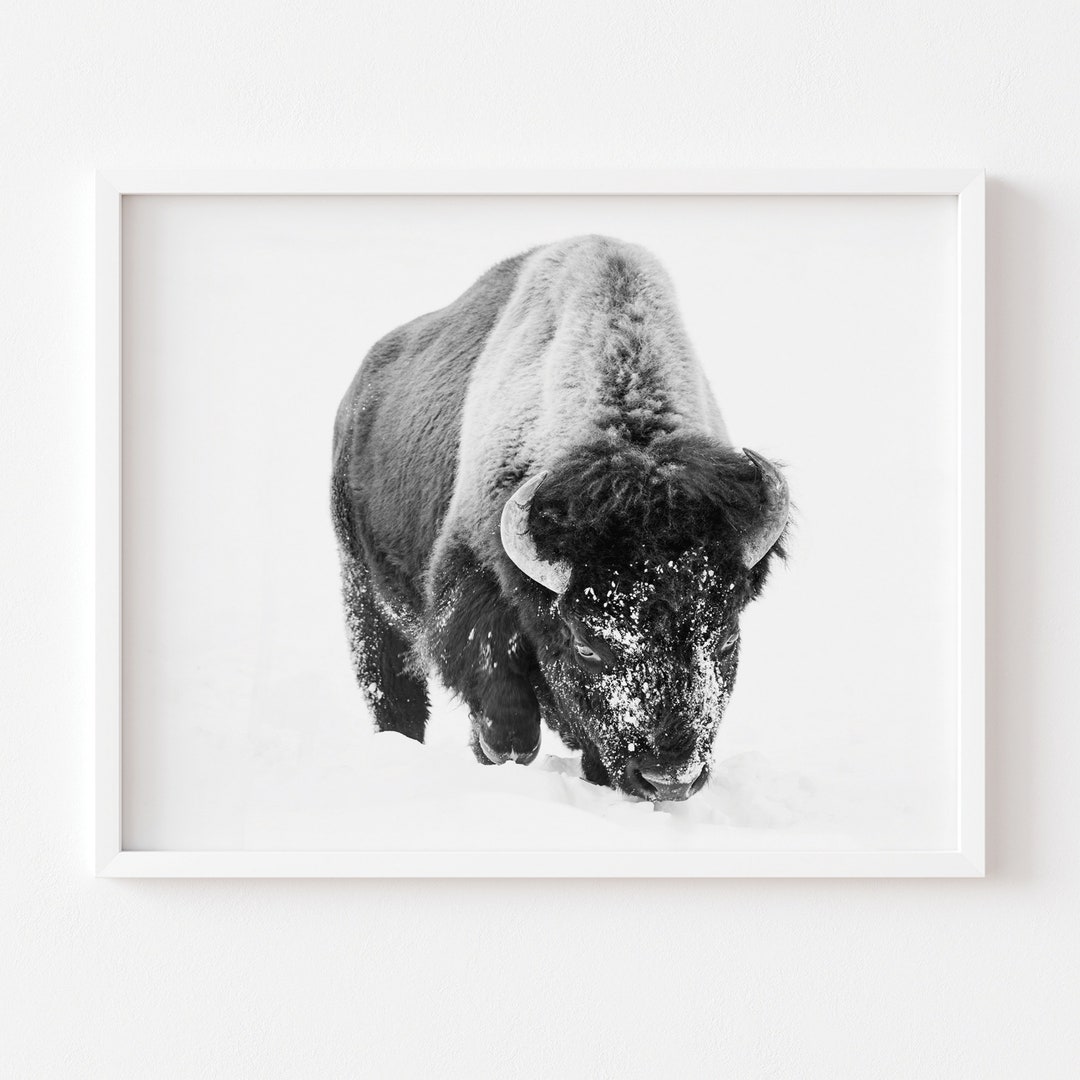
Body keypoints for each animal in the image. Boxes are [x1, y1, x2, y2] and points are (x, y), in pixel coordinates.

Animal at [332, 235, 788, 801]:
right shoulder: (472, 584)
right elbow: (507, 718)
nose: (669, 778)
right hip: (364, 591)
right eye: (586, 645)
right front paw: (499, 750)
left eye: (725, 641)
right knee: (394, 690)